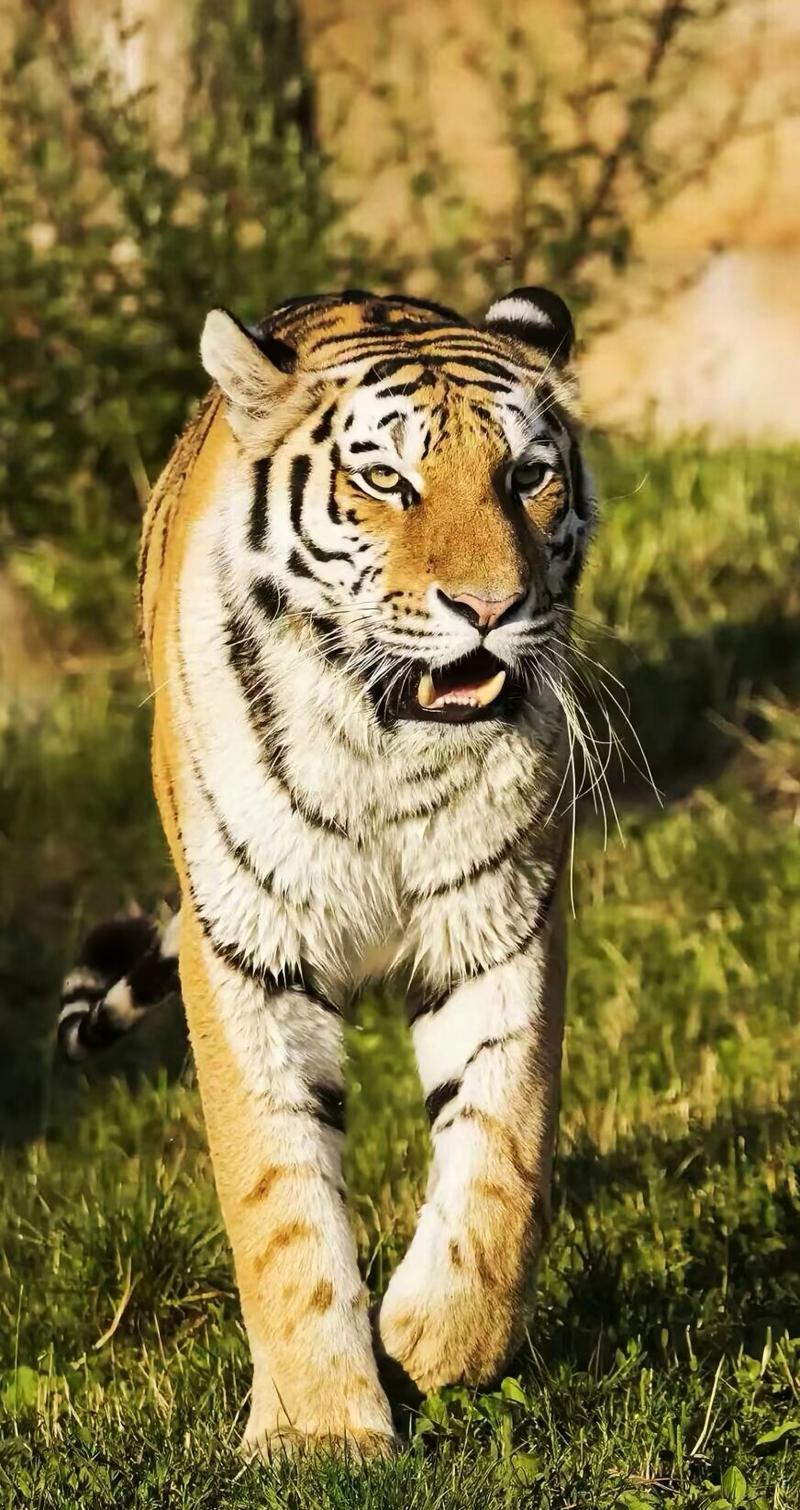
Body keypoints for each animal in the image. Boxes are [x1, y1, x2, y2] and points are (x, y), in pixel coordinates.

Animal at [58, 286, 596, 1458]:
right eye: (385, 480)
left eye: (526, 476)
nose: (488, 608)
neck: (389, 746)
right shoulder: (248, 949)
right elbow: (277, 1196)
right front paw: (319, 1433)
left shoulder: (498, 923)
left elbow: (503, 1146)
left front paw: (436, 1338)